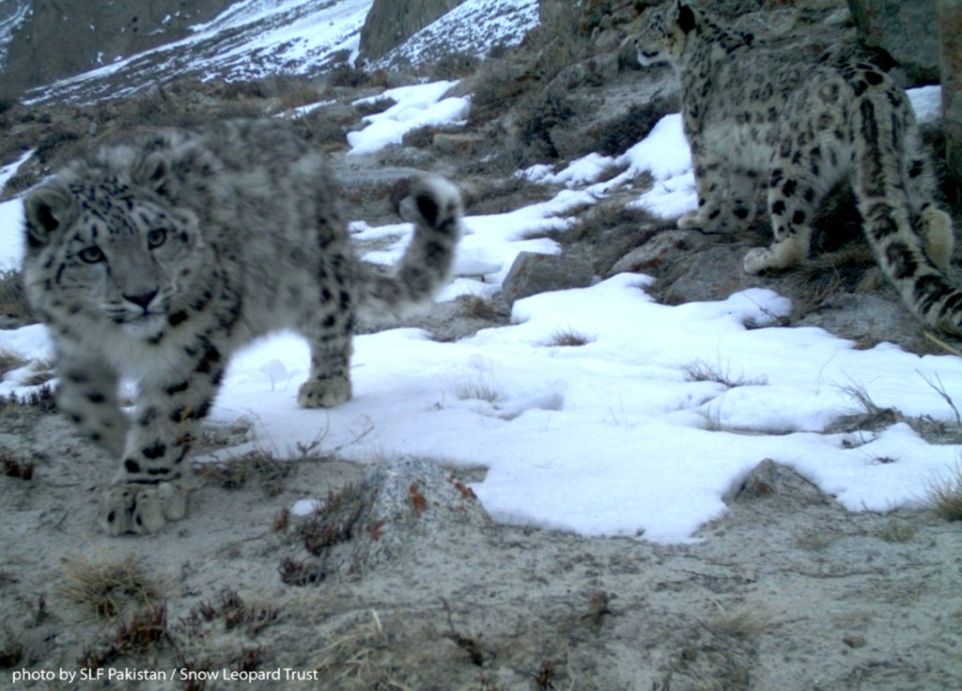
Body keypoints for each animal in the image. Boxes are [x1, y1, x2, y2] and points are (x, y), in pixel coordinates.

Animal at [22, 118, 463, 535]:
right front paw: (117, 435)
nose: (143, 296)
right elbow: (77, 399)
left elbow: (168, 410)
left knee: (335, 318)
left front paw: (141, 490)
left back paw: (326, 384)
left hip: (304, 282)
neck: (115, 337)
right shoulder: (74, 344)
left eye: (157, 236)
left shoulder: (189, 340)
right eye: (91, 254)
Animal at [634, 1, 962, 334]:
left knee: (793, 232)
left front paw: (699, 220)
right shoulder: (741, 156)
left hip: (792, 163)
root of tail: (869, 88)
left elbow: (708, 189)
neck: (692, 55)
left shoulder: (702, 145)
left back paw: (762, 258)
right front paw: (730, 223)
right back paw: (936, 252)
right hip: (909, 152)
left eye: (652, 26)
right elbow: (739, 195)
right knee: (932, 210)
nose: (635, 42)